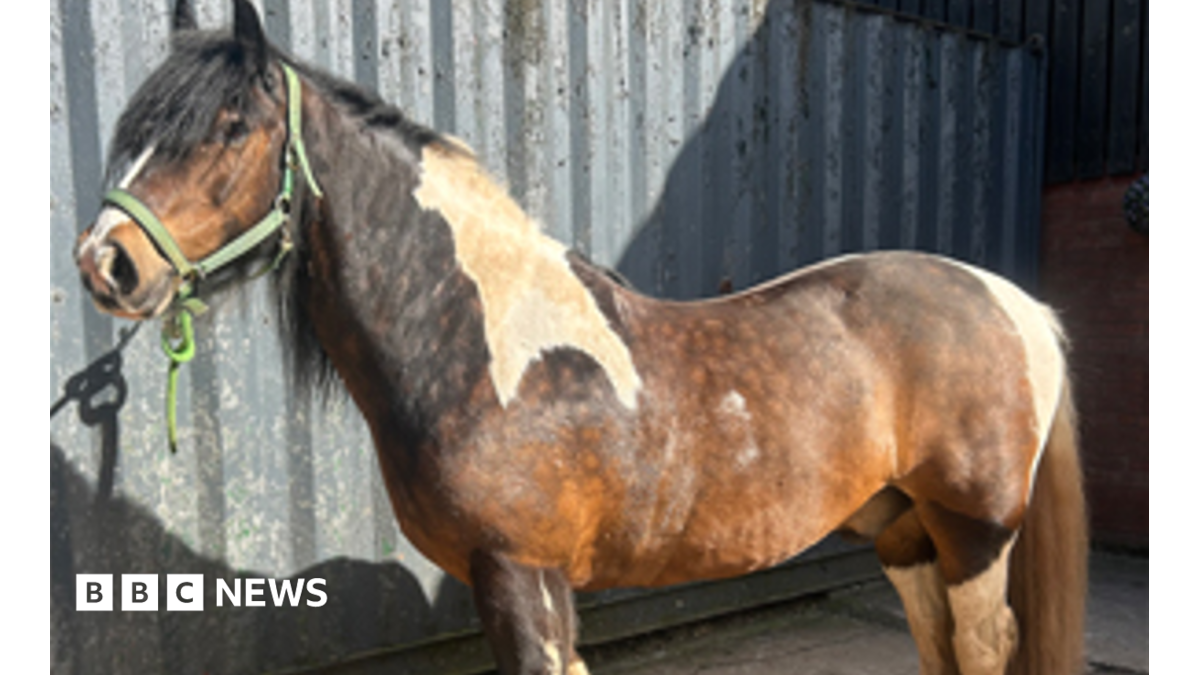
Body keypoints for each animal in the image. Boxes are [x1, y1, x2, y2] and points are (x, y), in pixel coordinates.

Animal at [73, 2, 1088, 674]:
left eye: (230, 125)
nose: (104, 262)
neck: (481, 352)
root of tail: (1013, 302)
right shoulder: (535, 579)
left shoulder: (518, 571)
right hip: (904, 533)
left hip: (973, 533)